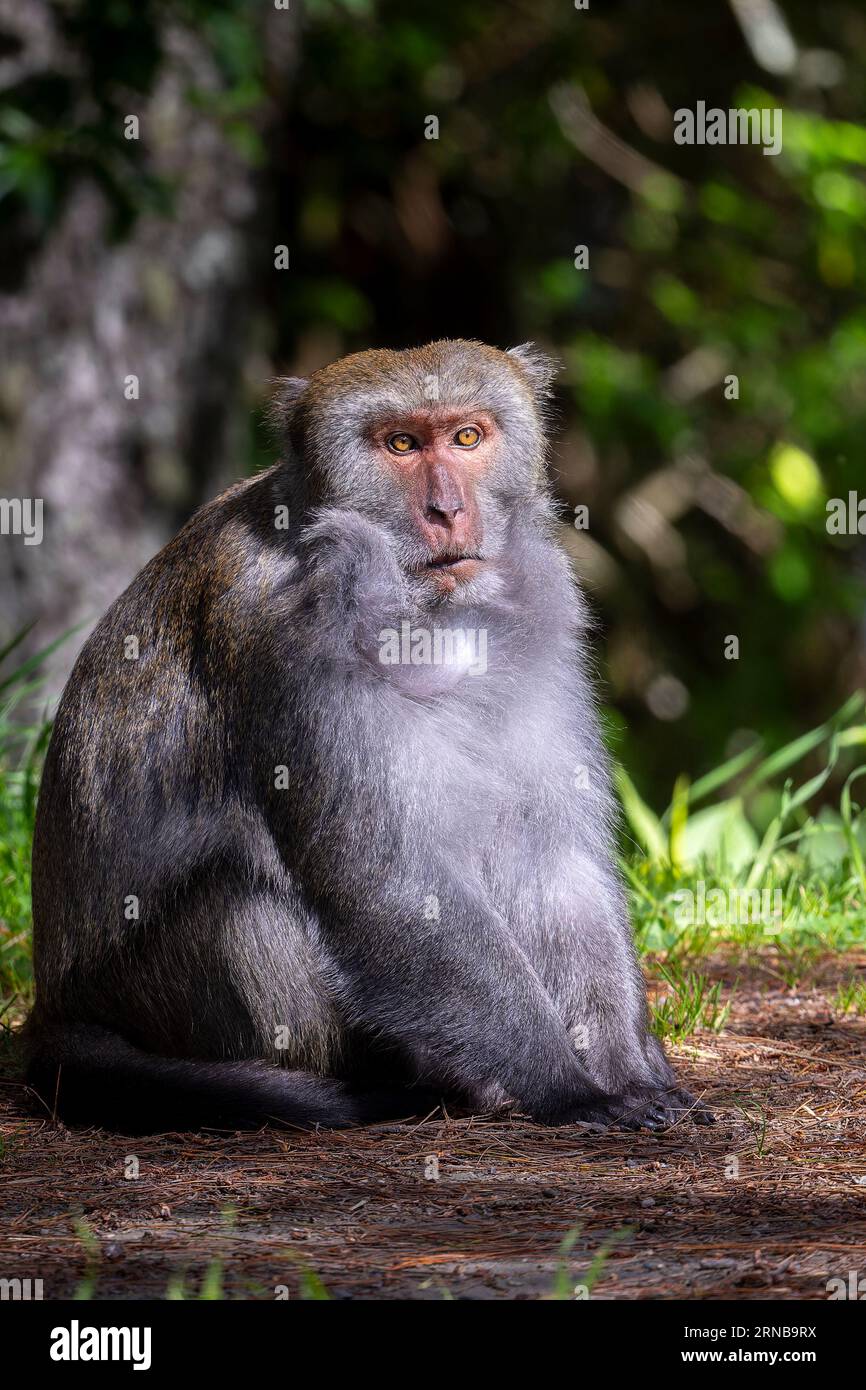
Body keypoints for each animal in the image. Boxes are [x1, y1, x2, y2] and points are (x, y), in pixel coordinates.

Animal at [25, 339, 713, 1135]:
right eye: (401, 445)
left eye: (467, 437)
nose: (448, 510)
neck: (431, 619)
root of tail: (56, 1009)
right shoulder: (286, 633)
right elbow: (384, 879)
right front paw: (569, 1088)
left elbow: (553, 862)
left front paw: (622, 1064)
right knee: (241, 903)